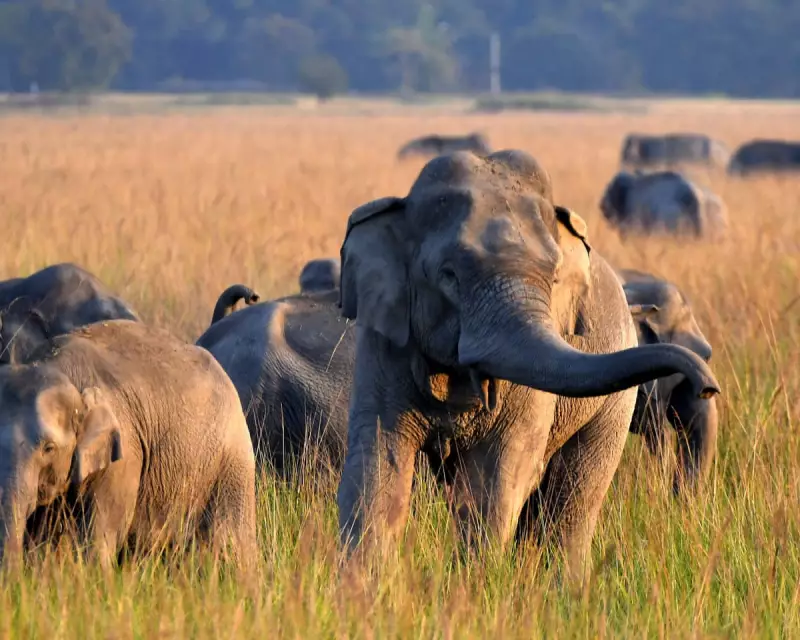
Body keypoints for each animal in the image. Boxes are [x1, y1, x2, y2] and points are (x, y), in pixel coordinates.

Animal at [0, 320, 257, 568]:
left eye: (49, 448)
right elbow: (40, 539)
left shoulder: (125, 450)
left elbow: (104, 531)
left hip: (231, 464)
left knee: (231, 541)